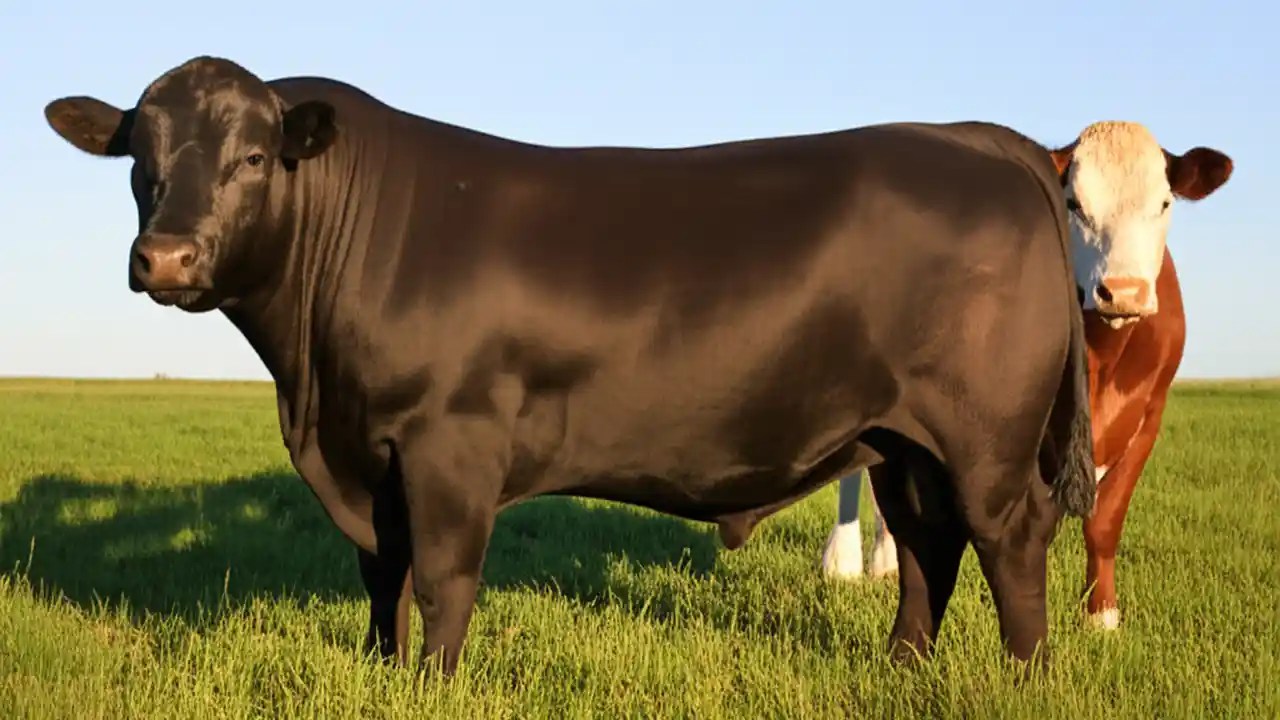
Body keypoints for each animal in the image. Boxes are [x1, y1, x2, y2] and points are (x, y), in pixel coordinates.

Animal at [43, 55, 1096, 677]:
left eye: (255, 158)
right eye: (139, 156)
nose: (167, 257)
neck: (312, 390)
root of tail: (977, 138)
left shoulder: (450, 444)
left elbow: (442, 579)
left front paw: (431, 683)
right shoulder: (366, 455)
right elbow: (381, 575)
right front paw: (382, 672)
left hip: (986, 438)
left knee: (1010, 542)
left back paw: (1023, 677)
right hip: (900, 440)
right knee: (927, 547)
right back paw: (902, 670)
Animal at [815, 121, 1233, 632]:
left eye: (1165, 203)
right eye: (1074, 203)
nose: (1123, 291)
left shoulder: (1150, 415)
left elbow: (1105, 520)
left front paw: (1101, 616)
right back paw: (847, 560)